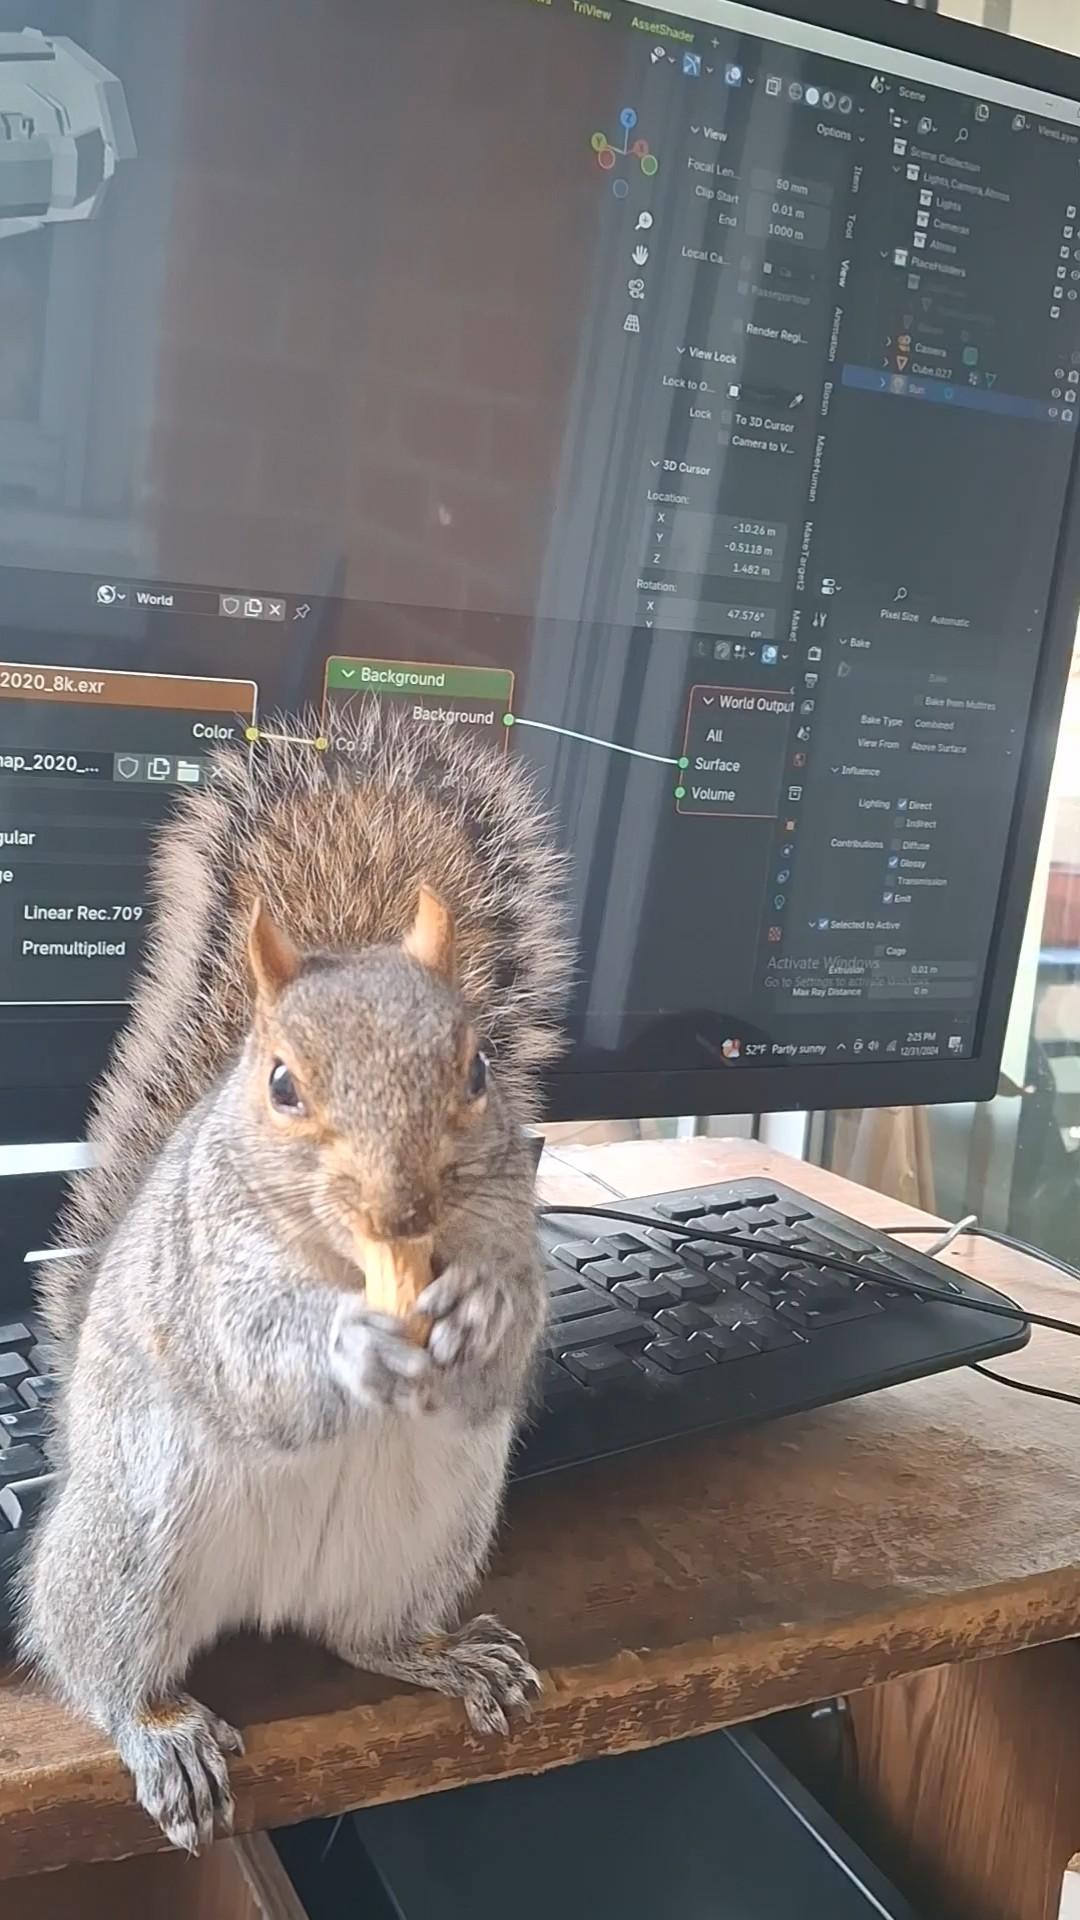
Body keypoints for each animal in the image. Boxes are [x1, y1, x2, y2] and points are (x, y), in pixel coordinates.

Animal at [19, 703, 571, 1855]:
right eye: (280, 1083)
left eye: (477, 1070)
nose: (402, 1210)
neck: (354, 1261)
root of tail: (268, 1597)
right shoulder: (203, 1277)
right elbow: (255, 1362)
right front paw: (349, 1340)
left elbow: (515, 1332)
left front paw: (480, 1315)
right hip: (131, 1549)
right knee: (98, 1665)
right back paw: (163, 1733)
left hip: (418, 1545)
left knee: (363, 1636)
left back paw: (446, 1657)